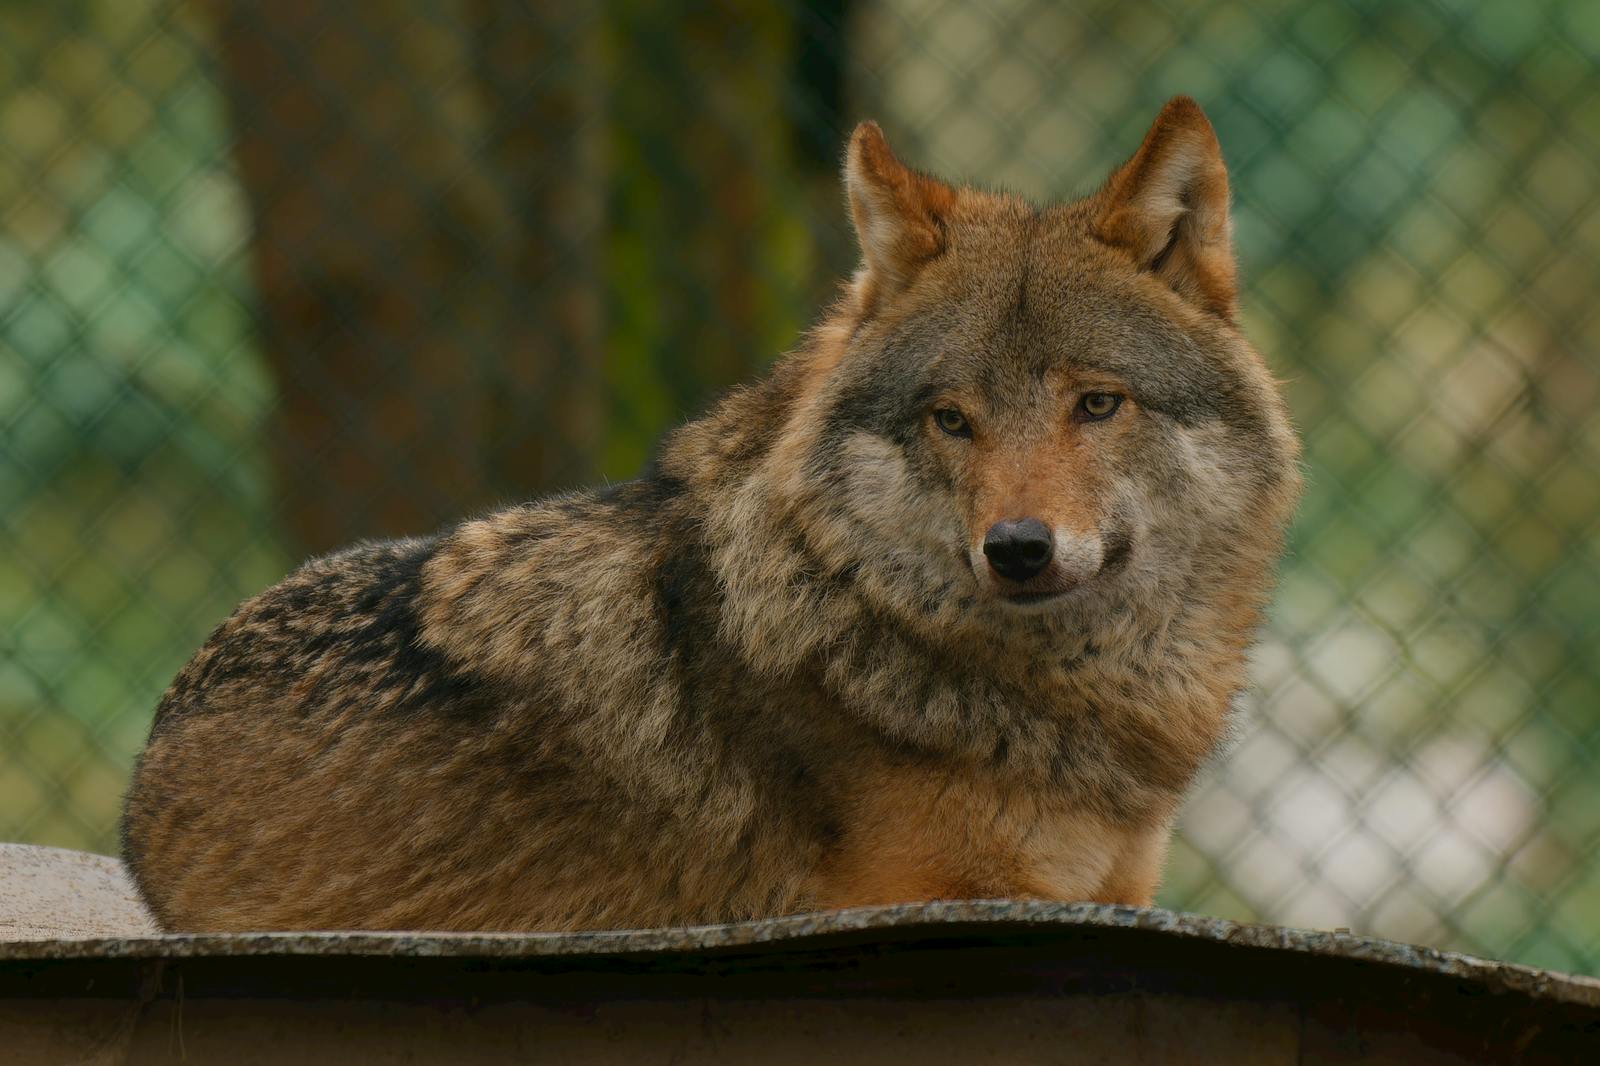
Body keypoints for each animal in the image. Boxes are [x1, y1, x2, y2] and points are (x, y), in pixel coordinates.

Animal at [121, 97, 1301, 932]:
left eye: (1096, 403)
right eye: (951, 420)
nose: (1015, 551)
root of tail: (143, 770)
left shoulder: (1114, 897)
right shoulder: (941, 901)